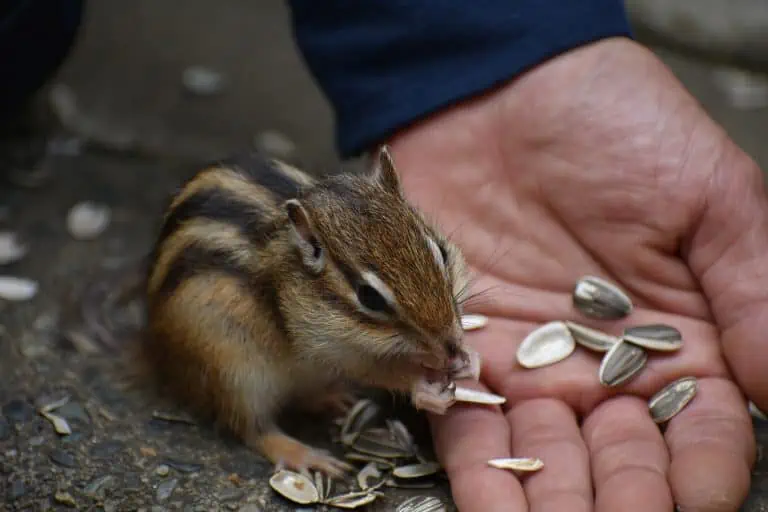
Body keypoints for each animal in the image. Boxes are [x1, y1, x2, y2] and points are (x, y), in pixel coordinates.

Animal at [139, 145, 478, 476]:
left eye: (441, 252)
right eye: (369, 297)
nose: (451, 346)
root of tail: (158, 350)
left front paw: (467, 360)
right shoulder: (326, 346)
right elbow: (376, 370)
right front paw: (422, 387)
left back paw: (334, 398)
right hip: (229, 369)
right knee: (251, 428)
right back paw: (304, 454)